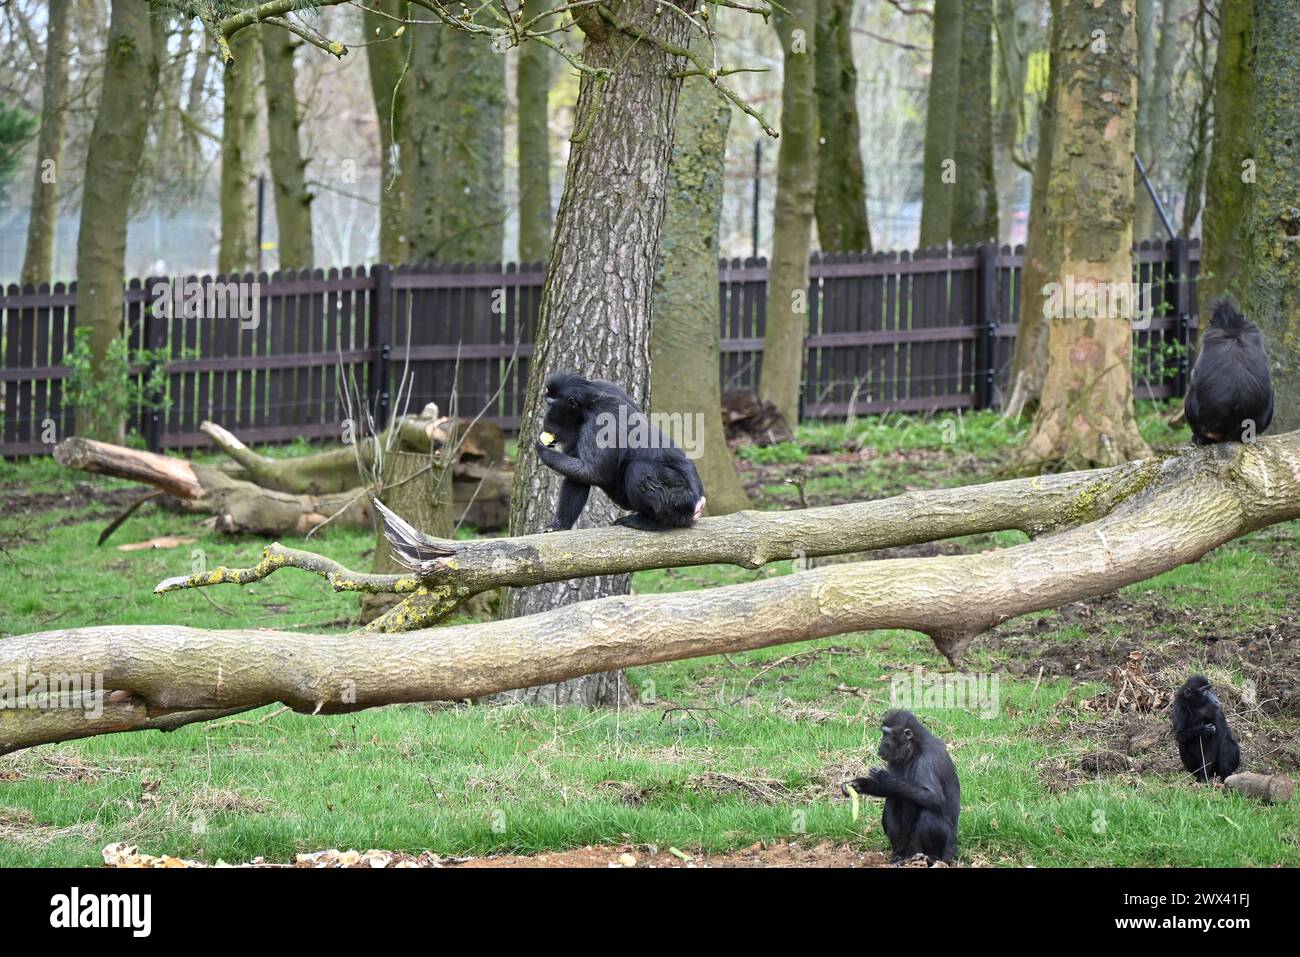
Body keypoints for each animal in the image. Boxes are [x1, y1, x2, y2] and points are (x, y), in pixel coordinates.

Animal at [534, 373, 706, 532]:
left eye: (550, 405)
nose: (545, 416)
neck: (589, 403)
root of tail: (698, 503)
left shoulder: (600, 419)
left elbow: (593, 471)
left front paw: (543, 450)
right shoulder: (607, 386)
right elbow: (581, 471)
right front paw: (559, 525)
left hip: (679, 500)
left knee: (639, 469)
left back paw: (652, 522)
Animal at [842, 710, 960, 865]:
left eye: (886, 734)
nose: (880, 745)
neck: (914, 750)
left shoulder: (927, 760)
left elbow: (934, 797)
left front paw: (887, 779)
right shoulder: (895, 760)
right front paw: (857, 784)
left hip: (947, 847)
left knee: (926, 814)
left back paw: (929, 857)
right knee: (894, 798)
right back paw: (900, 854)